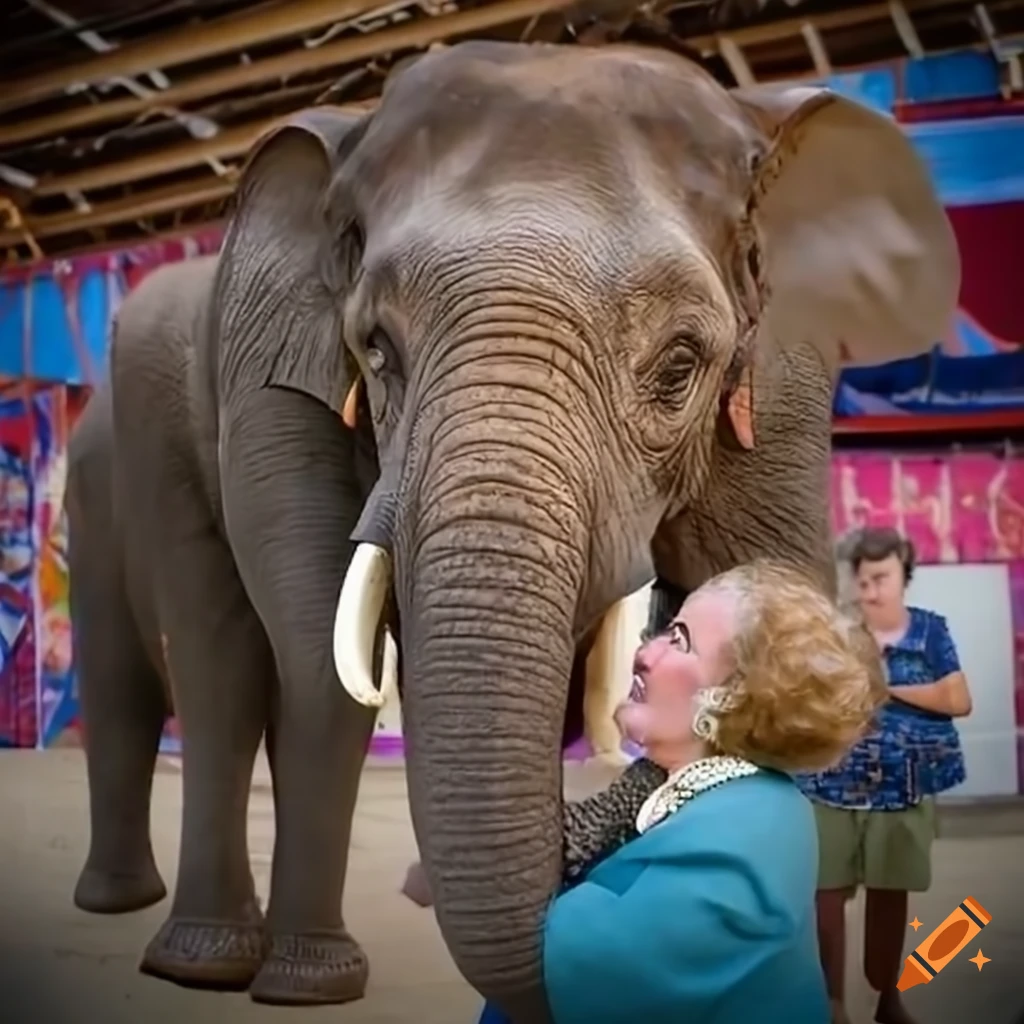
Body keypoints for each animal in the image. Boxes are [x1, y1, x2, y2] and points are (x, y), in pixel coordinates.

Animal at [66, 39, 958, 1023]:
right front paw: (308, 986)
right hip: (132, 441)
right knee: (200, 668)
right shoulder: (270, 380)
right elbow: (322, 657)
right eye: (376, 351)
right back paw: (190, 956)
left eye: (682, 364)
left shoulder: (786, 370)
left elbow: (767, 575)